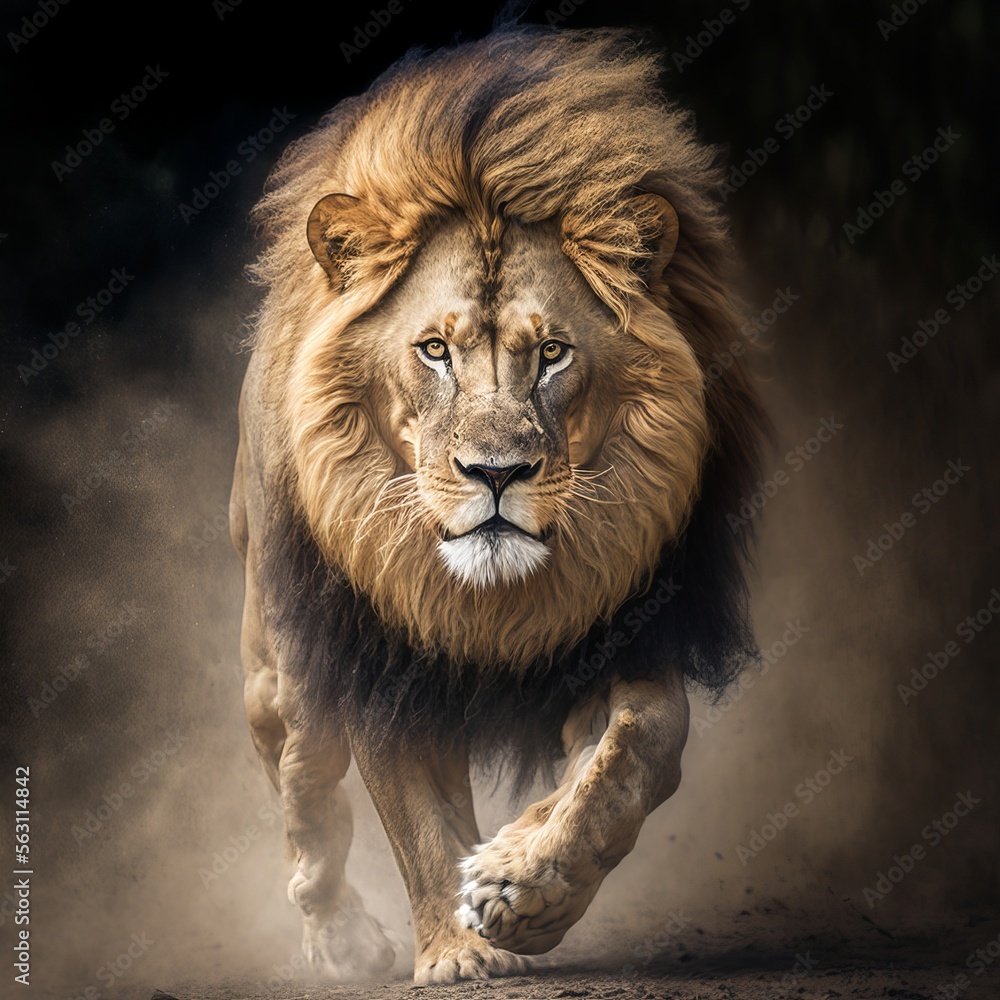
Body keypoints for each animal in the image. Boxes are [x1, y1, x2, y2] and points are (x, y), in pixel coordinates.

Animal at [230, 25, 765, 984]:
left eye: (552, 352)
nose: (496, 473)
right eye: (434, 350)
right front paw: (457, 953)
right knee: (304, 794)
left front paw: (525, 886)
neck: (494, 601)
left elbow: (641, 746)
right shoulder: (383, 660)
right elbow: (416, 819)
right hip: (281, 664)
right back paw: (340, 937)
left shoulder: (622, 628)